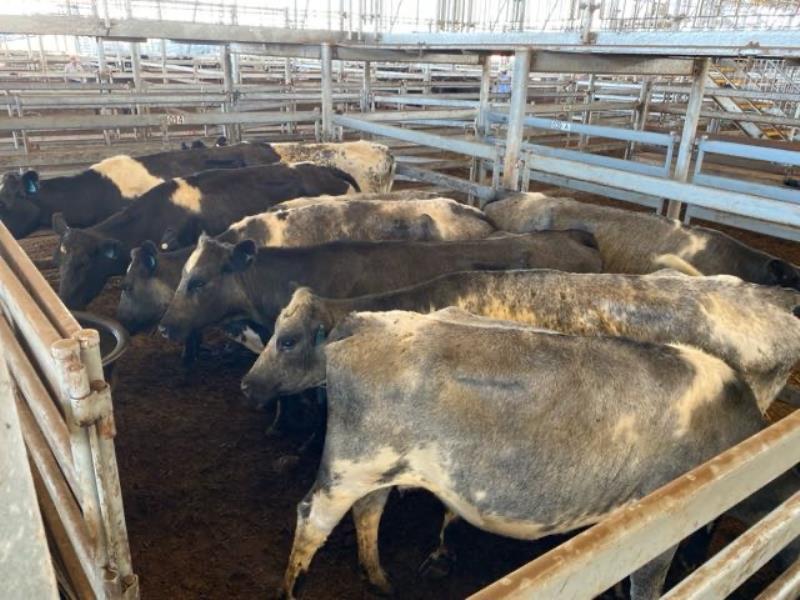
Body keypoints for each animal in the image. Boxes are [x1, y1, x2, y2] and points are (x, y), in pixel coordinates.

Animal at [264, 308, 796, 599]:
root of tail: (364, 321)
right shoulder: (664, 516)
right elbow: (646, 582)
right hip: (349, 467)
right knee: (312, 518)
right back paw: (292, 588)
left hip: (381, 465)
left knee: (369, 511)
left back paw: (378, 578)